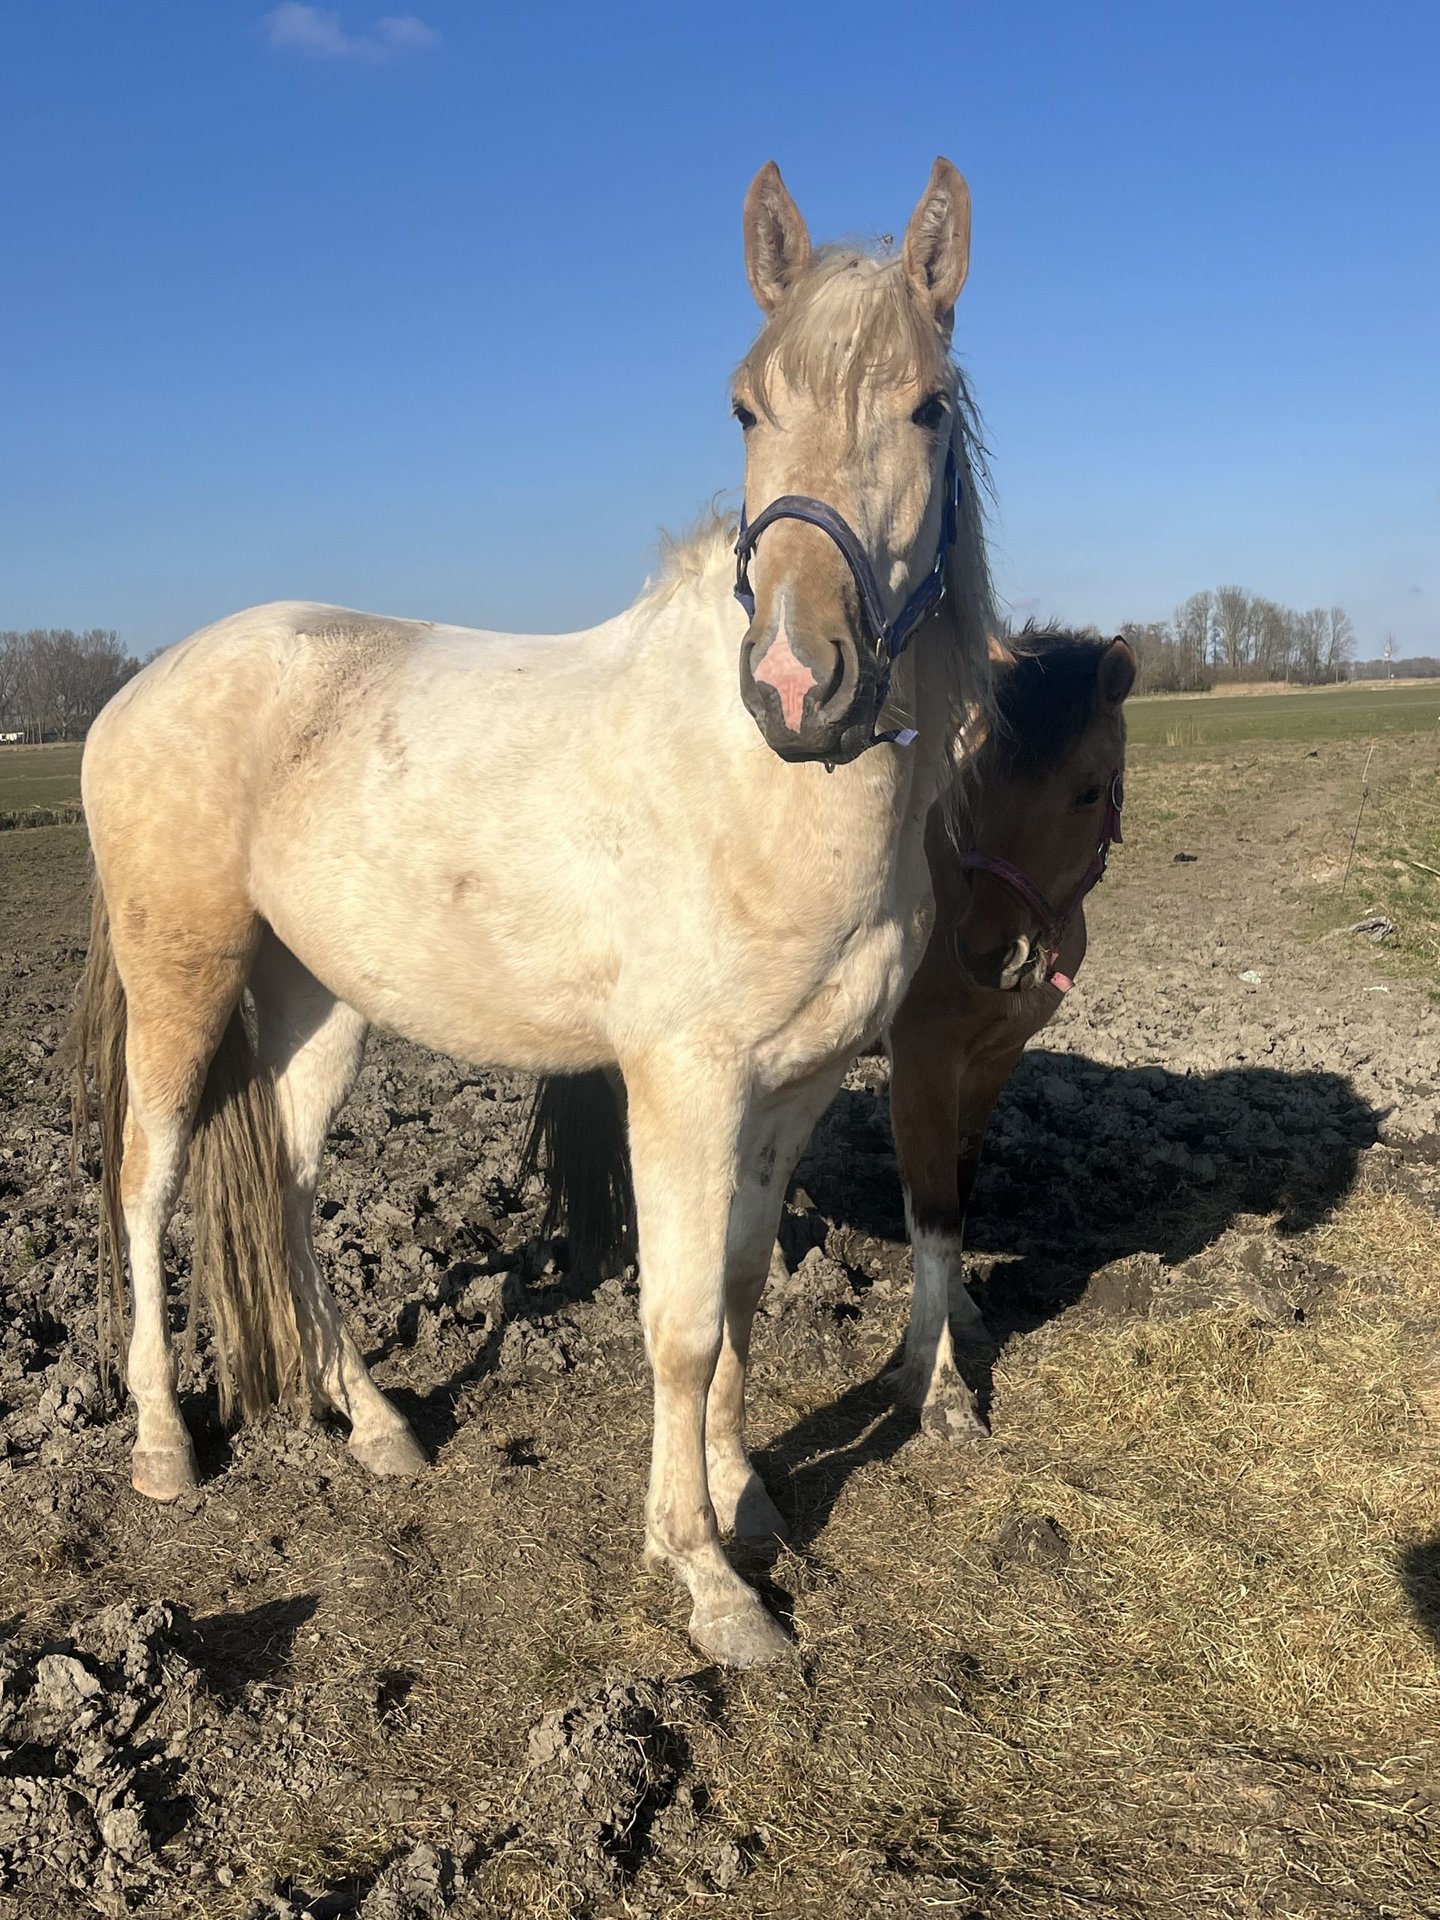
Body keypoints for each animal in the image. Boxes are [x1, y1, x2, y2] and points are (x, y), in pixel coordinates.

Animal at [68, 158, 995, 1668]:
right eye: (746, 406)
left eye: (925, 406)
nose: (800, 684)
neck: (761, 790)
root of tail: (139, 687)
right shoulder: (684, 1085)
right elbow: (680, 1325)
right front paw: (706, 1578)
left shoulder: (792, 1087)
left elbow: (743, 1297)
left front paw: (749, 1503)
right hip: (182, 975)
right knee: (146, 1179)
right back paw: (160, 1445)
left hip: (319, 1002)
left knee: (292, 1184)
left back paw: (378, 1427)